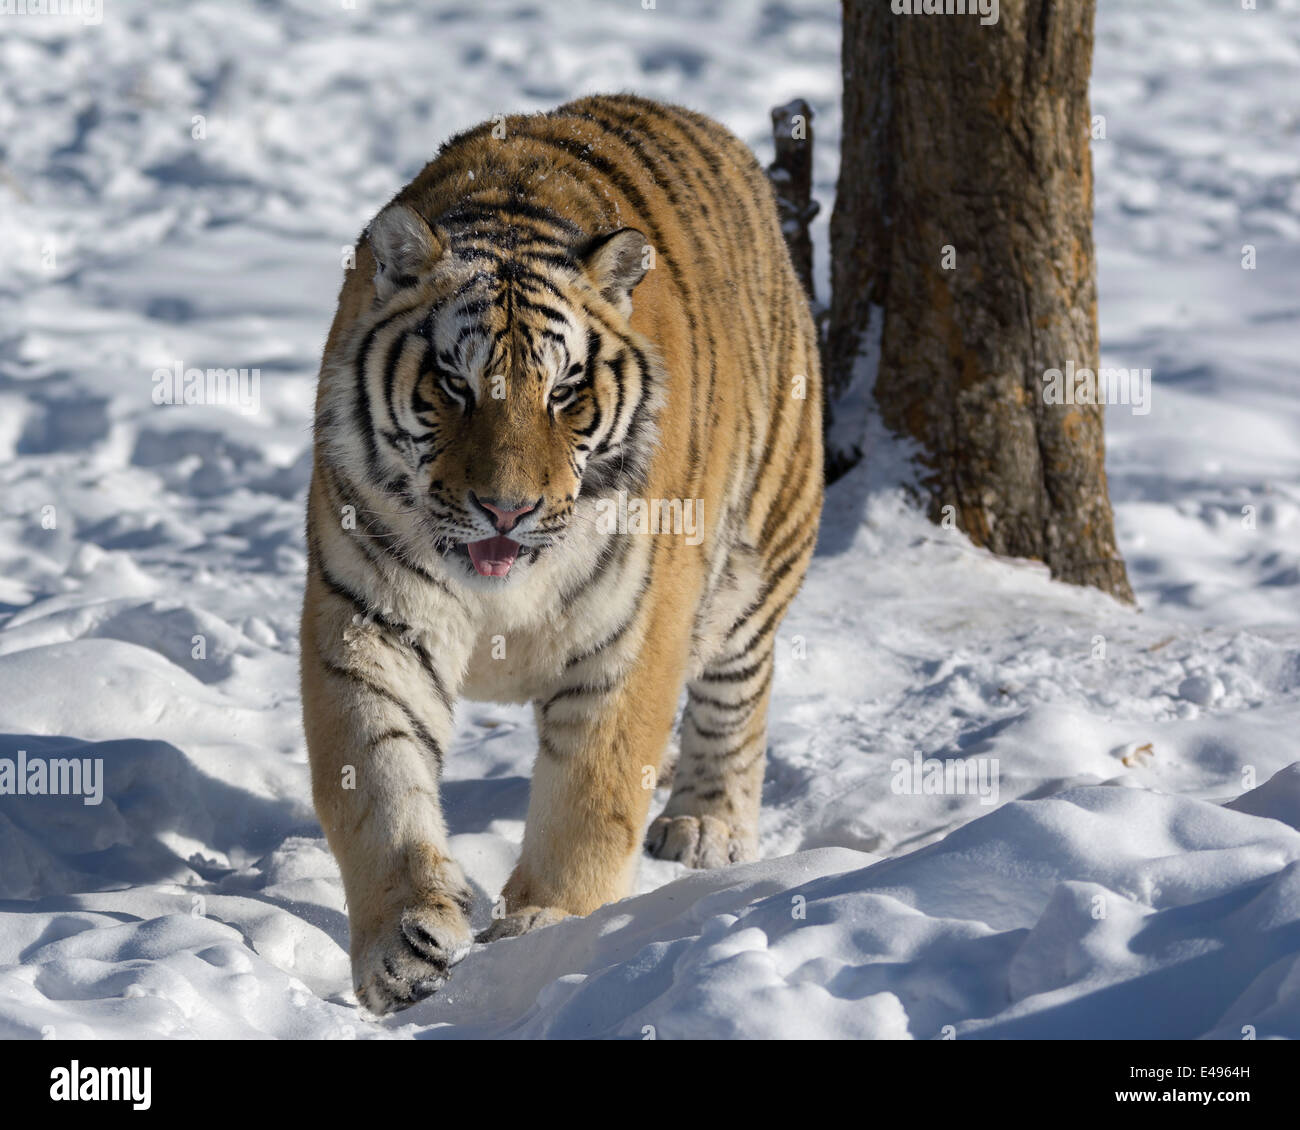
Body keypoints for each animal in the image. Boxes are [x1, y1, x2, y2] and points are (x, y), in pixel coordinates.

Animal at [300, 93, 823, 1015]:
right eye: (453, 385)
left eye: (566, 392)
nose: (506, 509)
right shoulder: (369, 623)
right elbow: (376, 782)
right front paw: (404, 946)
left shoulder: (632, 634)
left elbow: (592, 798)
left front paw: (546, 929)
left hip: (758, 557)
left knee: (740, 691)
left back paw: (706, 825)